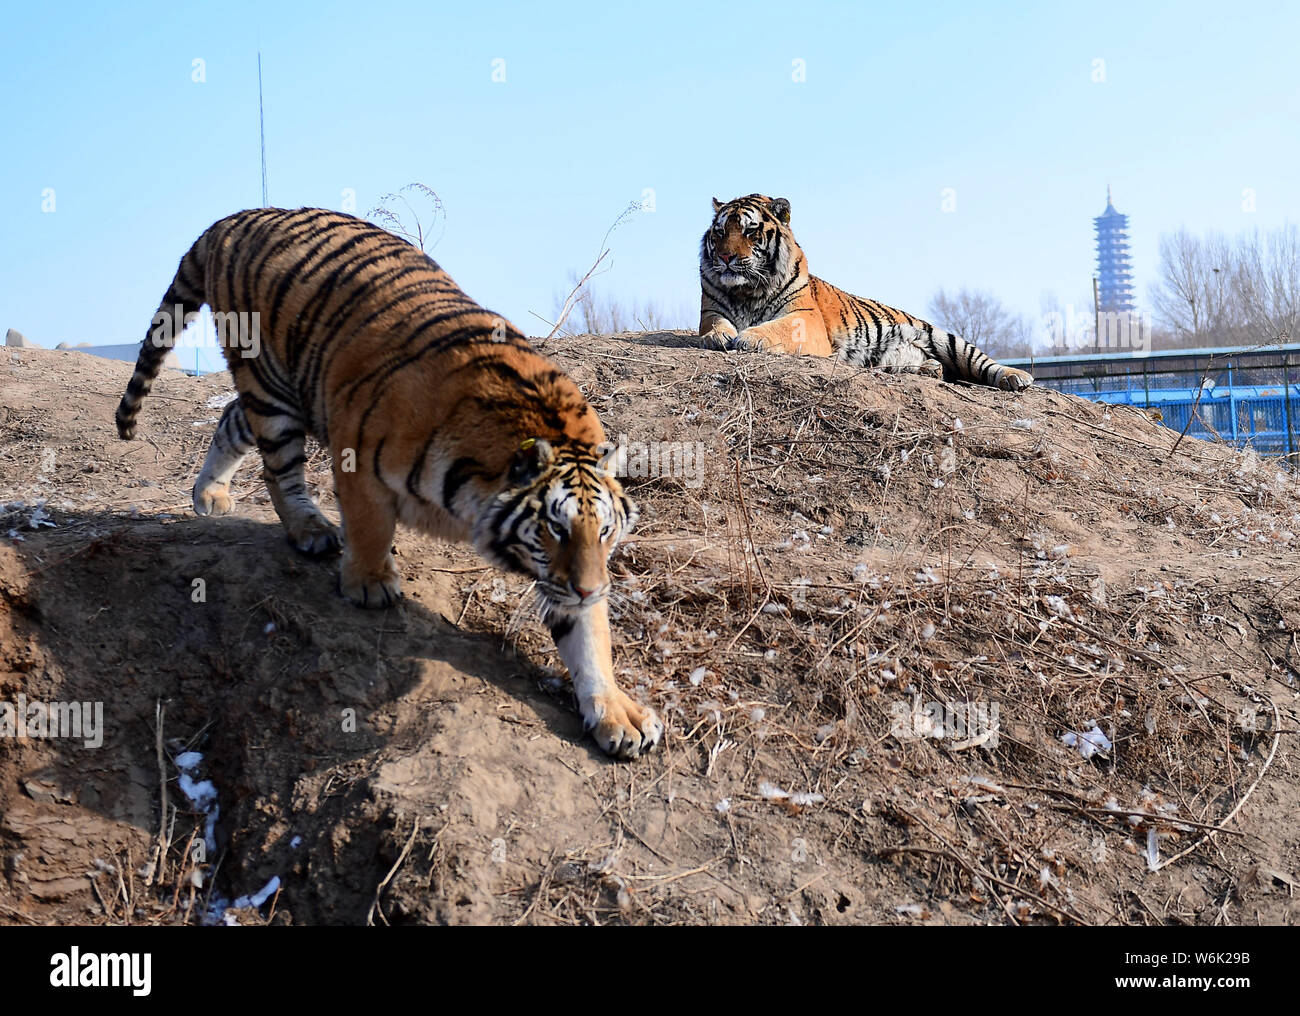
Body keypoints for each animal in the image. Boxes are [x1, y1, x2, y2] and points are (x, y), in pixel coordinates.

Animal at [115, 207, 662, 759]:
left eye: (605, 532)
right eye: (555, 528)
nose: (591, 589)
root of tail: (235, 218)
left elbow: (589, 640)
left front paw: (617, 714)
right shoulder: (358, 455)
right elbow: (370, 525)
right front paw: (371, 583)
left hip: (289, 392)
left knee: (230, 417)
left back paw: (210, 495)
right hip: (270, 385)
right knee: (278, 468)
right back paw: (309, 529)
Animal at [698, 194, 1034, 391]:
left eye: (750, 230)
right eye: (720, 232)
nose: (725, 258)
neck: (747, 291)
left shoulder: (804, 320)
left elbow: (775, 328)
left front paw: (749, 337)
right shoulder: (711, 310)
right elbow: (715, 326)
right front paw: (719, 337)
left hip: (944, 338)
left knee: (982, 361)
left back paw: (1016, 377)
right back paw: (930, 370)